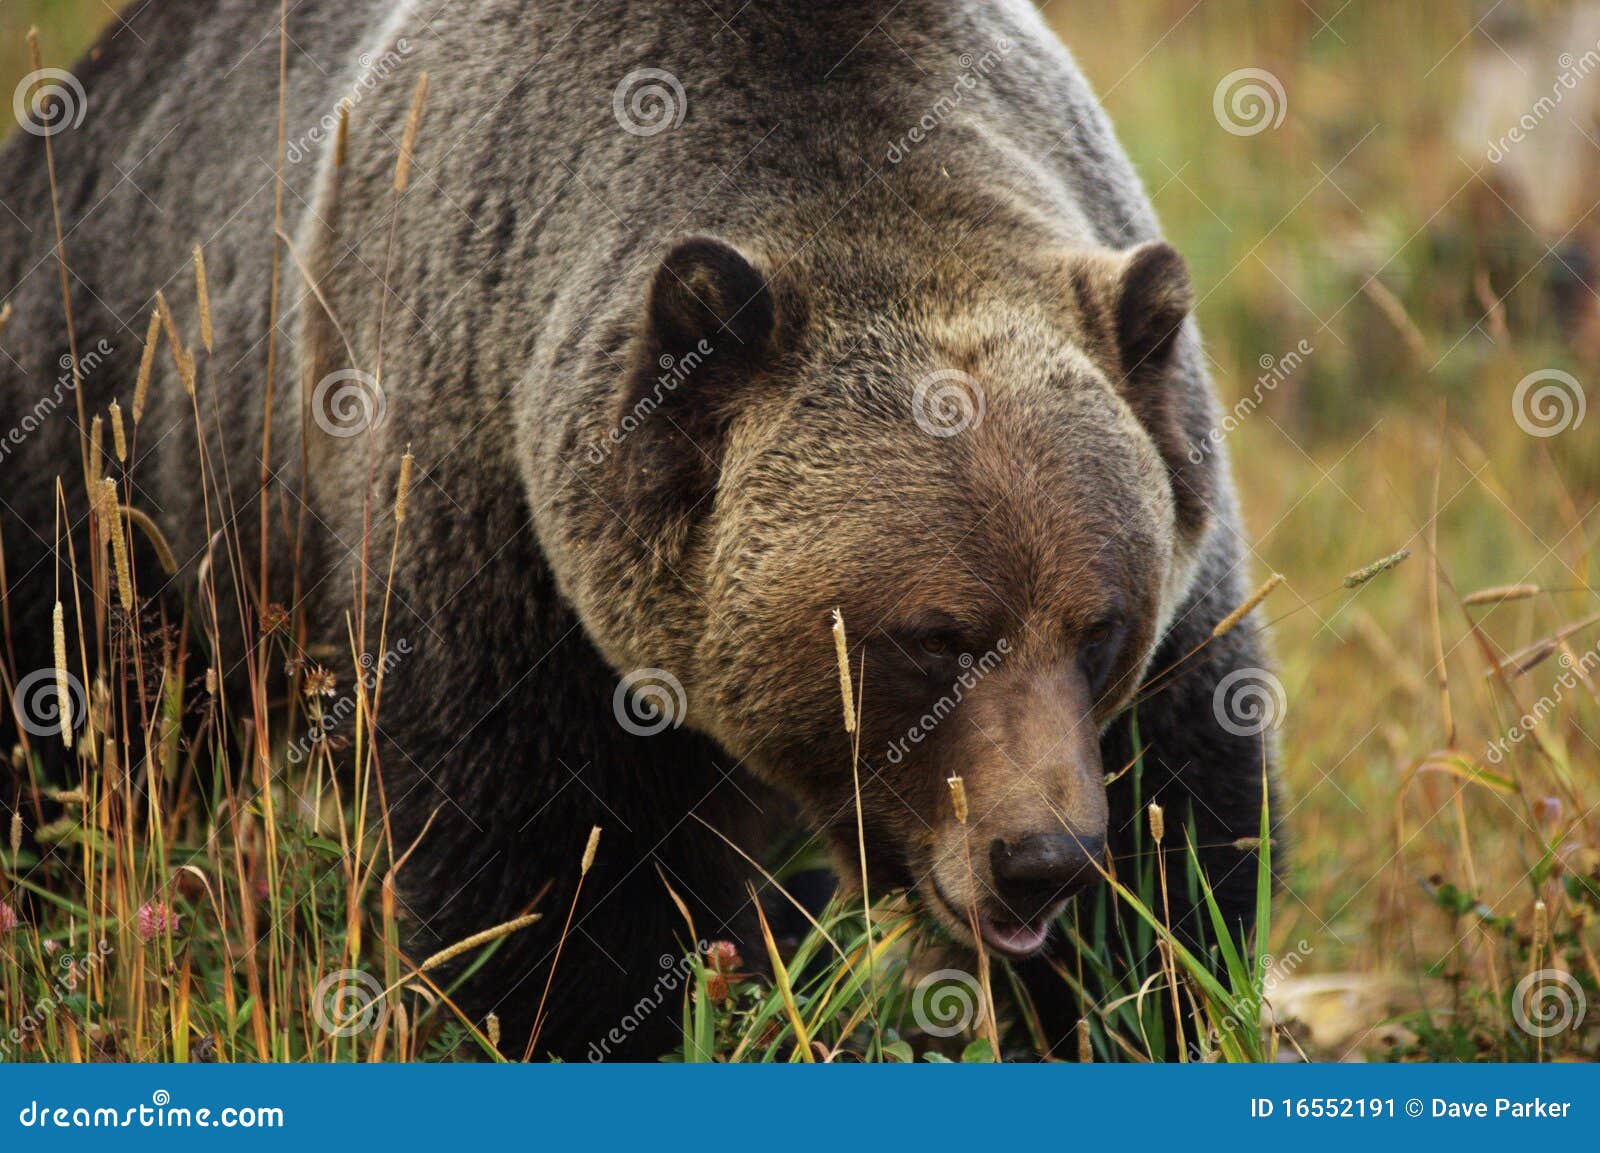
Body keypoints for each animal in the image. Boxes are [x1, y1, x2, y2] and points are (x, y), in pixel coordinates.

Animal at [0, 0, 1276, 1060]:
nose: (1042, 859)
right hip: (116, 447)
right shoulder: (496, 534)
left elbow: (1182, 838)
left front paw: (1139, 995)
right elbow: (546, 887)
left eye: (1099, 625)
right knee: (62, 710)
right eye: (932, 636)